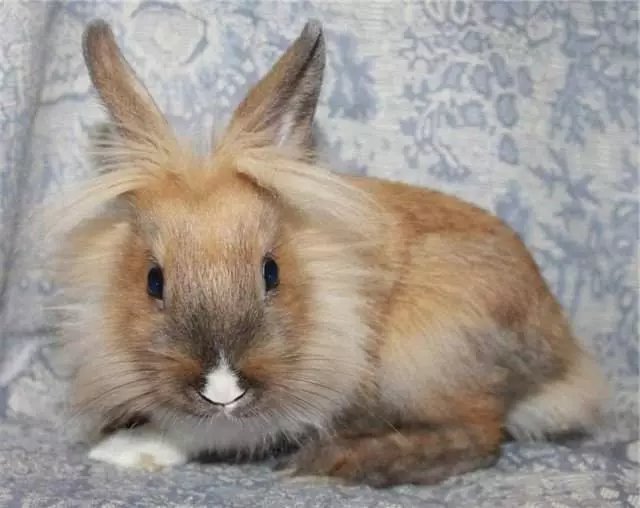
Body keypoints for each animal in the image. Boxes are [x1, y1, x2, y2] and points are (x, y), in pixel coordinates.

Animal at [48, 18, 604, 488]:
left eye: (271, 272)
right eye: (153, 281)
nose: (223, 387)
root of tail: (564, 362)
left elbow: (199, 430)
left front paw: (127, 449)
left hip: (428, 349)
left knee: (481, 434)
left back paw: (356, 459)